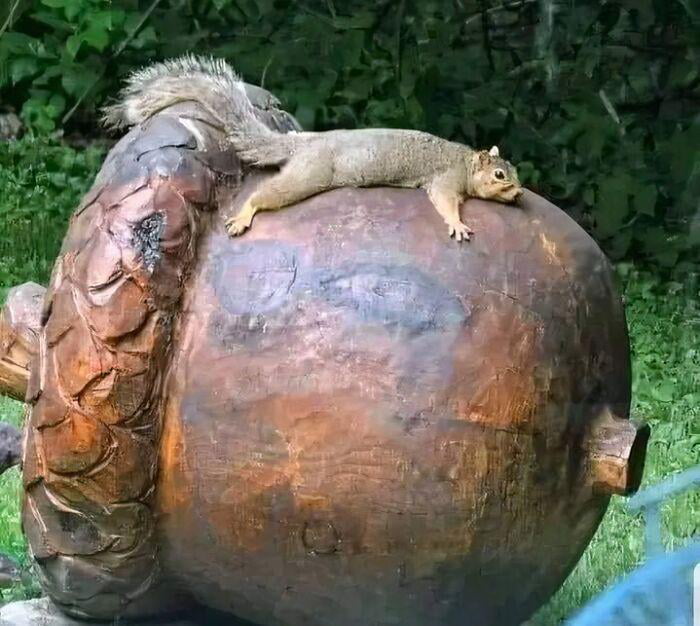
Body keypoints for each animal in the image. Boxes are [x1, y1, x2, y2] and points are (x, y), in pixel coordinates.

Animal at [103, 56, 522, 242]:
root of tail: (306, 143)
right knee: (266, 194)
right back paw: (244, 215)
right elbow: (445, 202)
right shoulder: (445, 180)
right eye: (500, 174)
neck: (464, 161)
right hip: (308, 176)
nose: (519, 194)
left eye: (517, 172)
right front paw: (457, 224)